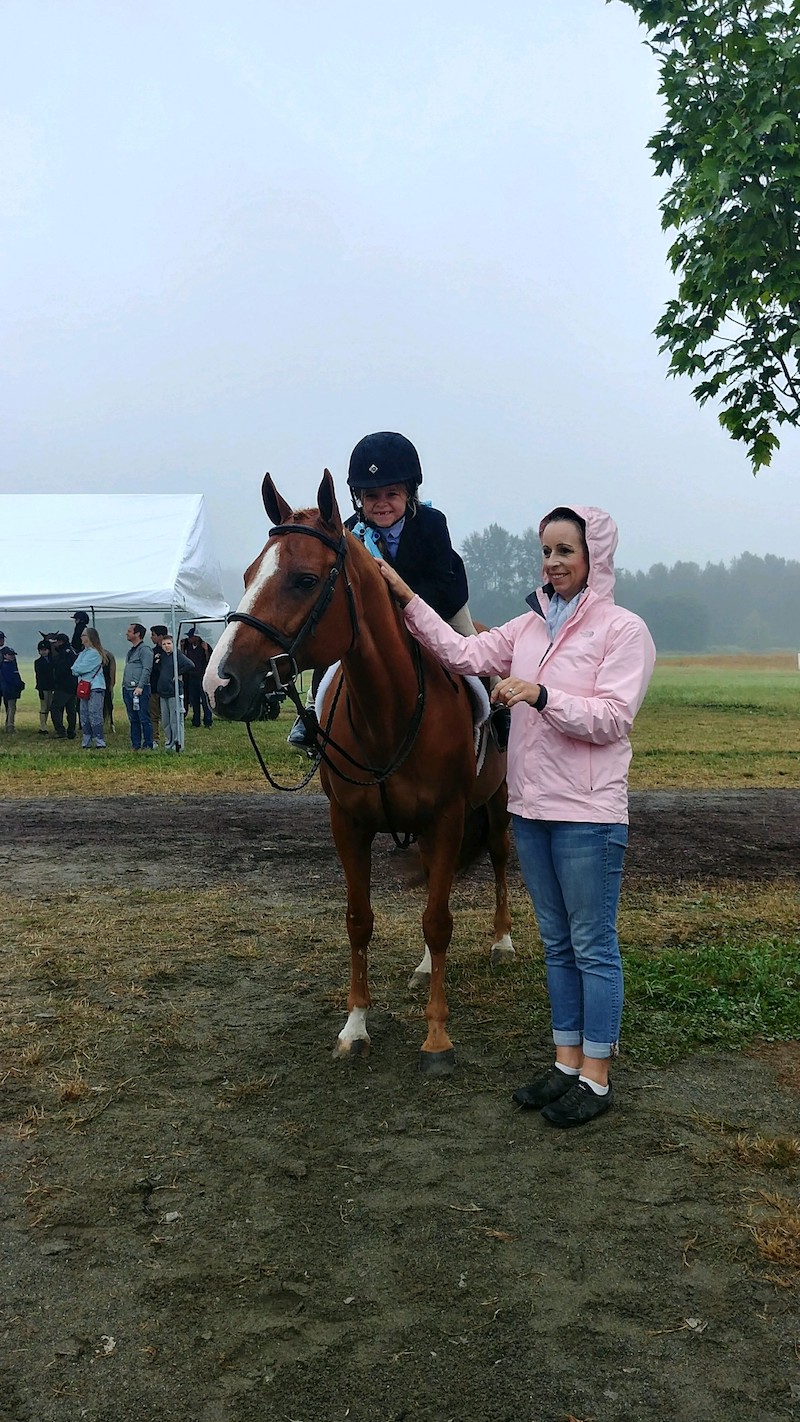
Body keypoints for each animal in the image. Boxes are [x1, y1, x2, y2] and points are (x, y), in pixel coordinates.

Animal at [204, 470, 513, 1075]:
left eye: (303, 580)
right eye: (249, 574)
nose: (219, 684)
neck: (387, 711)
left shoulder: (446, 818)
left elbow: (439, 920)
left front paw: (437, 1039)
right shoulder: (349, 824)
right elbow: (361, 919)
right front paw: (355, 1026)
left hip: (495, 803)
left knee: (498, 859)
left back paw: (503, 943)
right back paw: (424, 967)